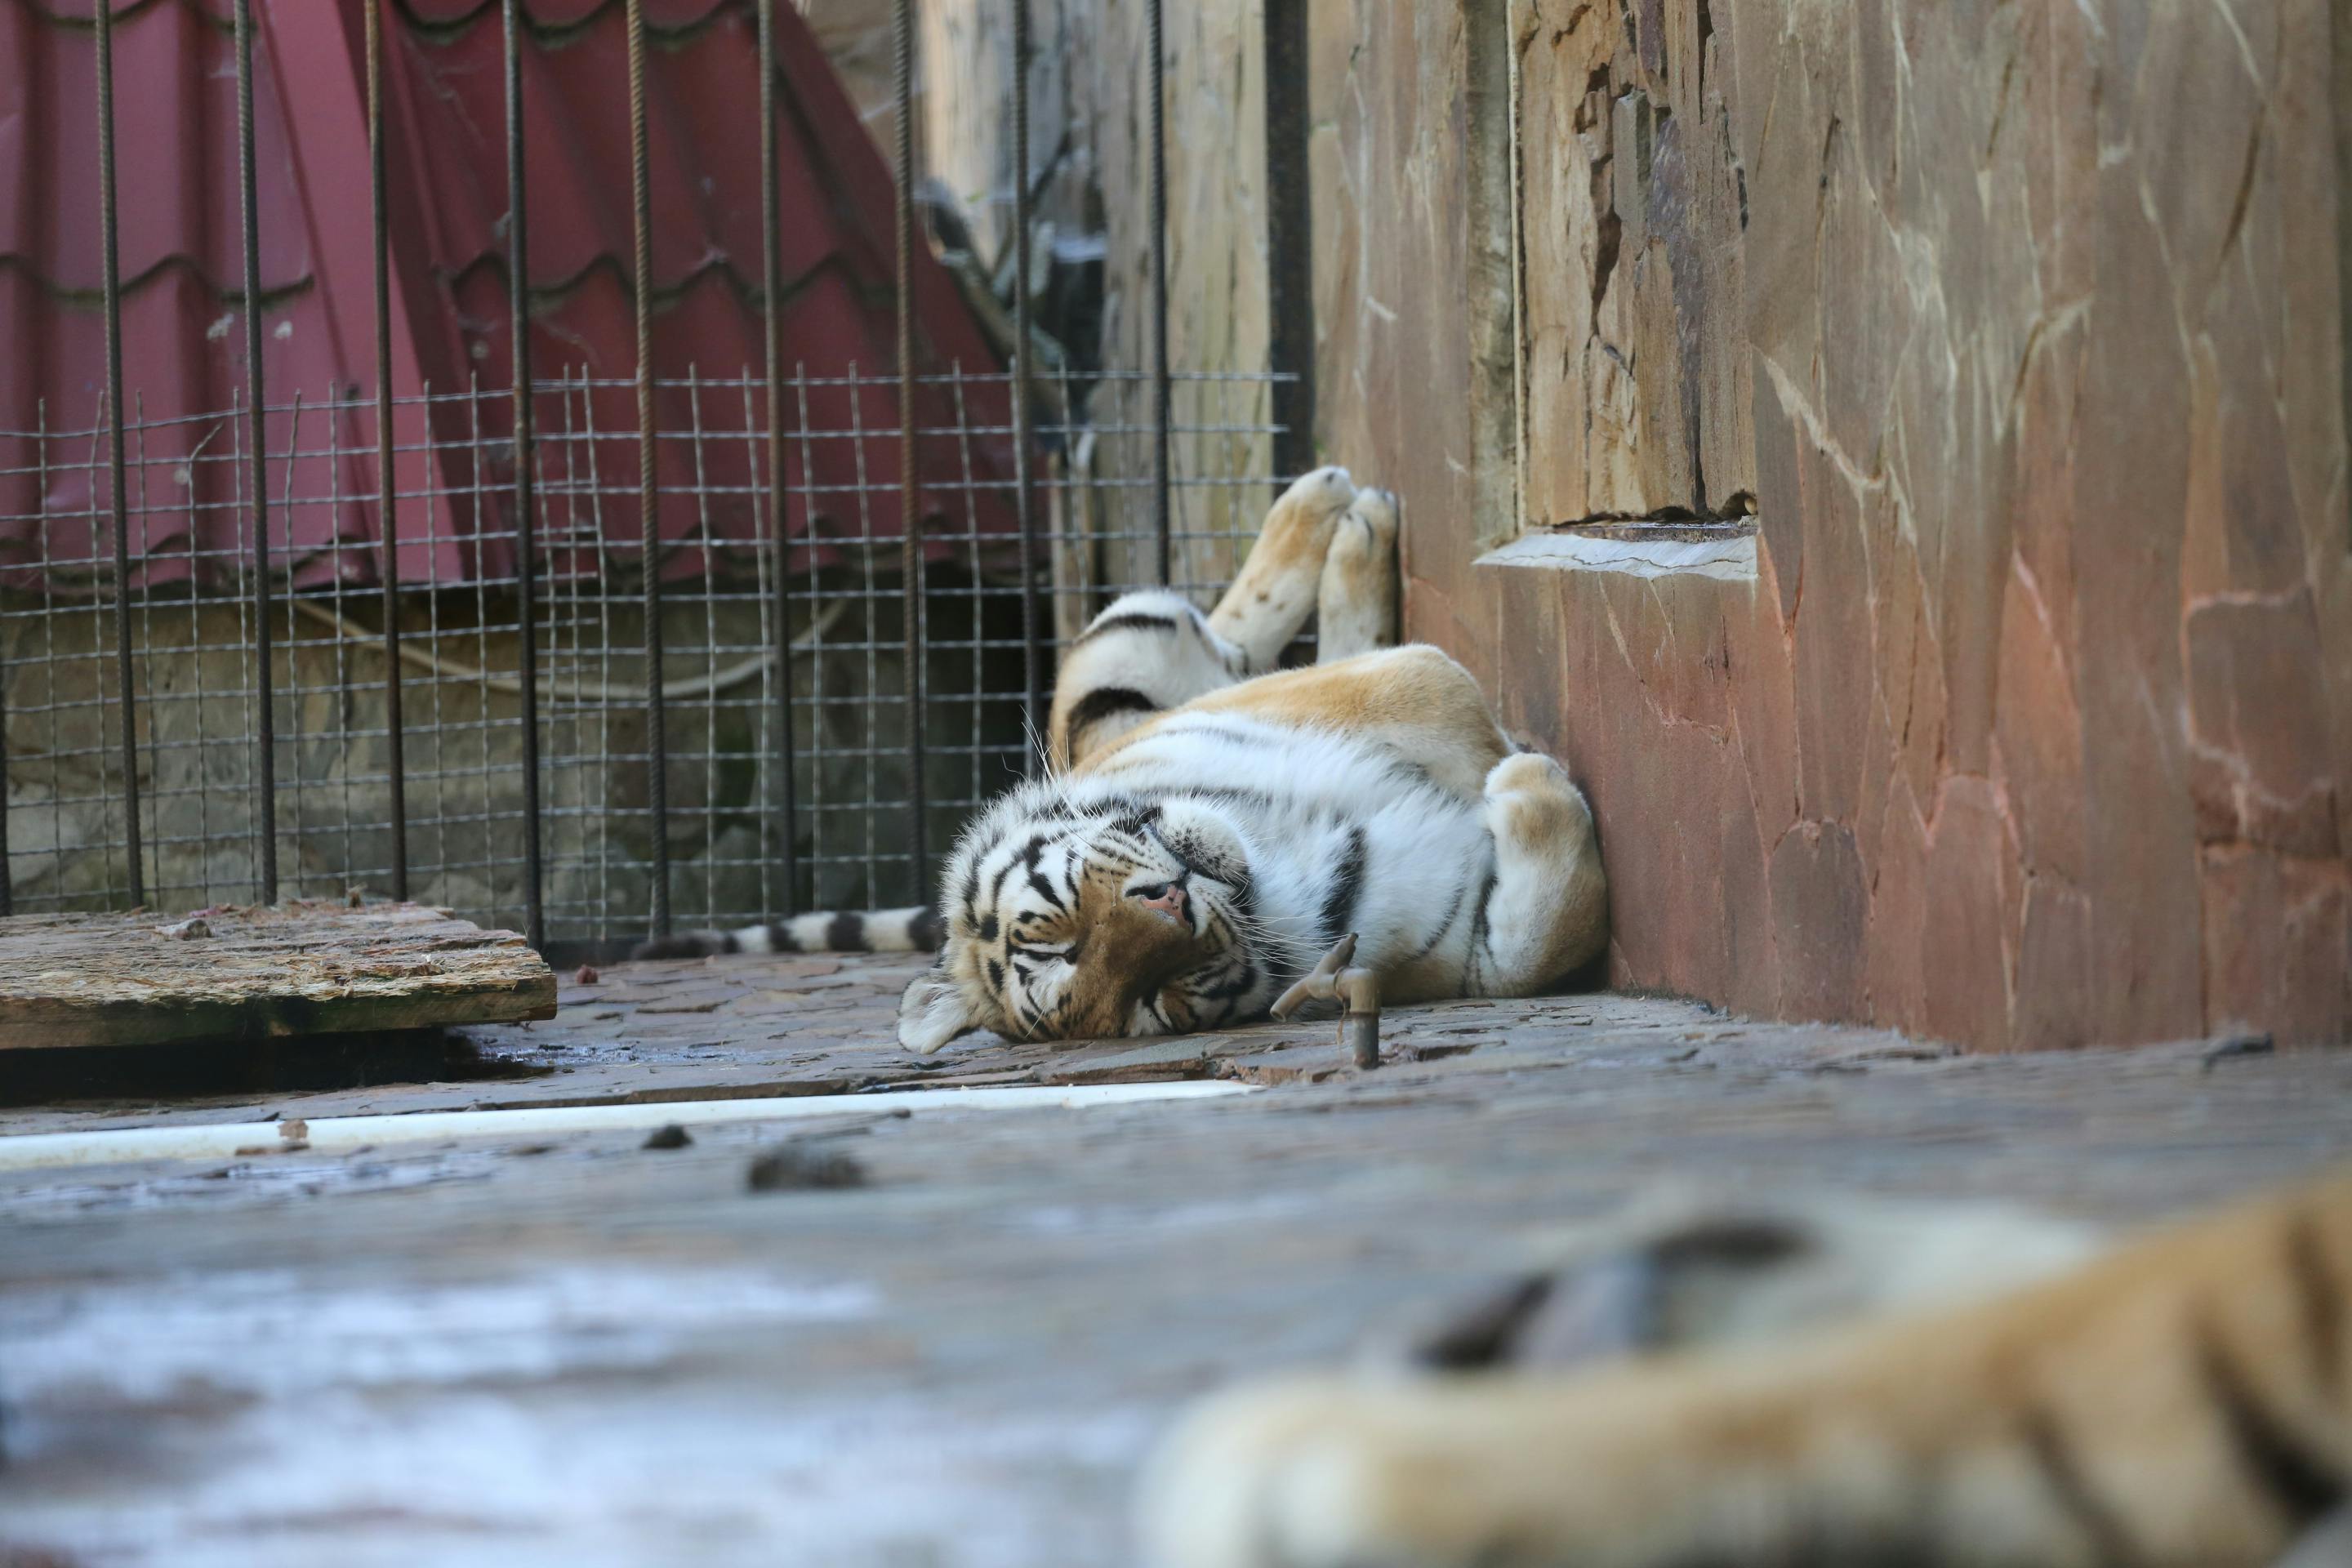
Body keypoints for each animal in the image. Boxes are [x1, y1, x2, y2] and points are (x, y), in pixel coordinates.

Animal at [639, 465, 1610, 1056]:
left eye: (1051, 931)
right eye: (1157, 999)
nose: (1174, 904)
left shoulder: (1310, 703)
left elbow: (1429, 685)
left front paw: (1505, 758)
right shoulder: (1453, 955)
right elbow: (1543, 940)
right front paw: (1527, 779)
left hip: (1126, 631)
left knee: (1232, 632)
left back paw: (1337, 510)